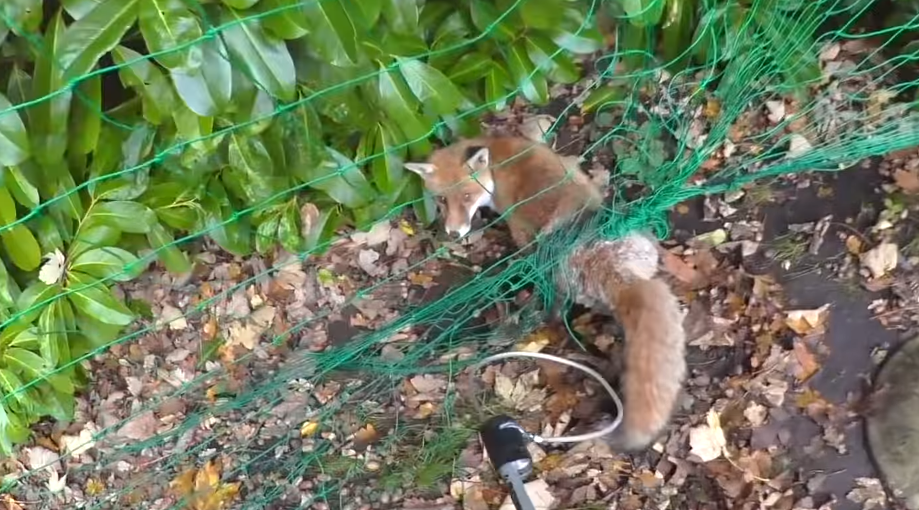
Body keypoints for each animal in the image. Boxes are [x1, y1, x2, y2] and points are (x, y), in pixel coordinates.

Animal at [404, 136, 687, 452]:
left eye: (467, 196)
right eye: (442, 200)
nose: (453, 233)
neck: (498, 156)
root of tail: (620, 275)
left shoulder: (521, 230)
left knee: (555, 313)